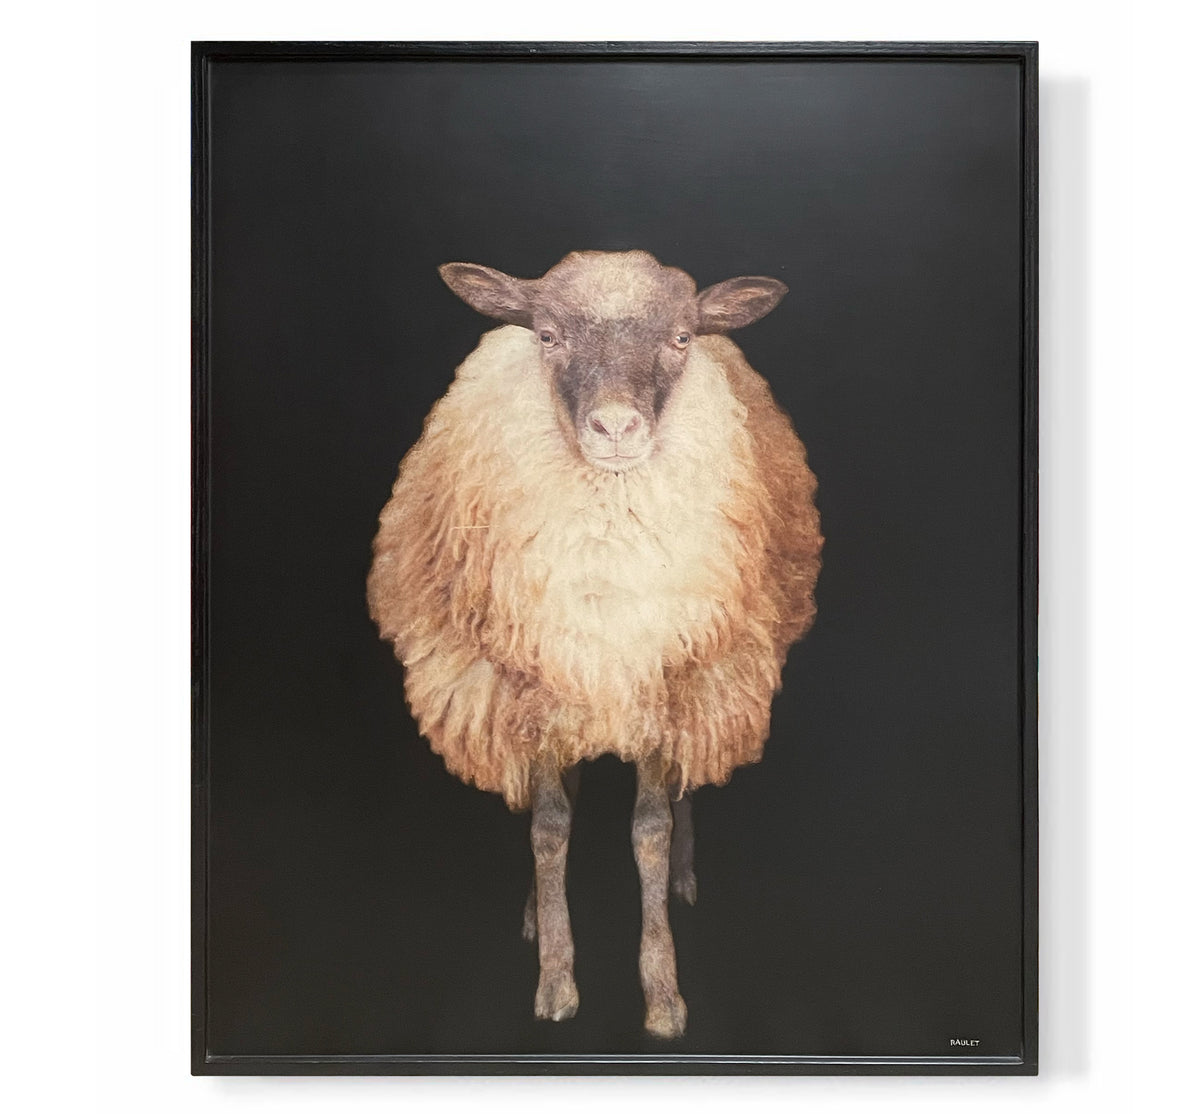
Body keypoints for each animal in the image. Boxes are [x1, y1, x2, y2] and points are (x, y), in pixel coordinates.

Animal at [367, 250, 822, 1039]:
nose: (615, 427)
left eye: (680, 337)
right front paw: (555, 976)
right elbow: (550, 828)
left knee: (680, 793)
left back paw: (682, 878)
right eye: (547, 336)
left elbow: (649, 830)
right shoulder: (534, 691)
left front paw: (663, 991)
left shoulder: (663, 685)